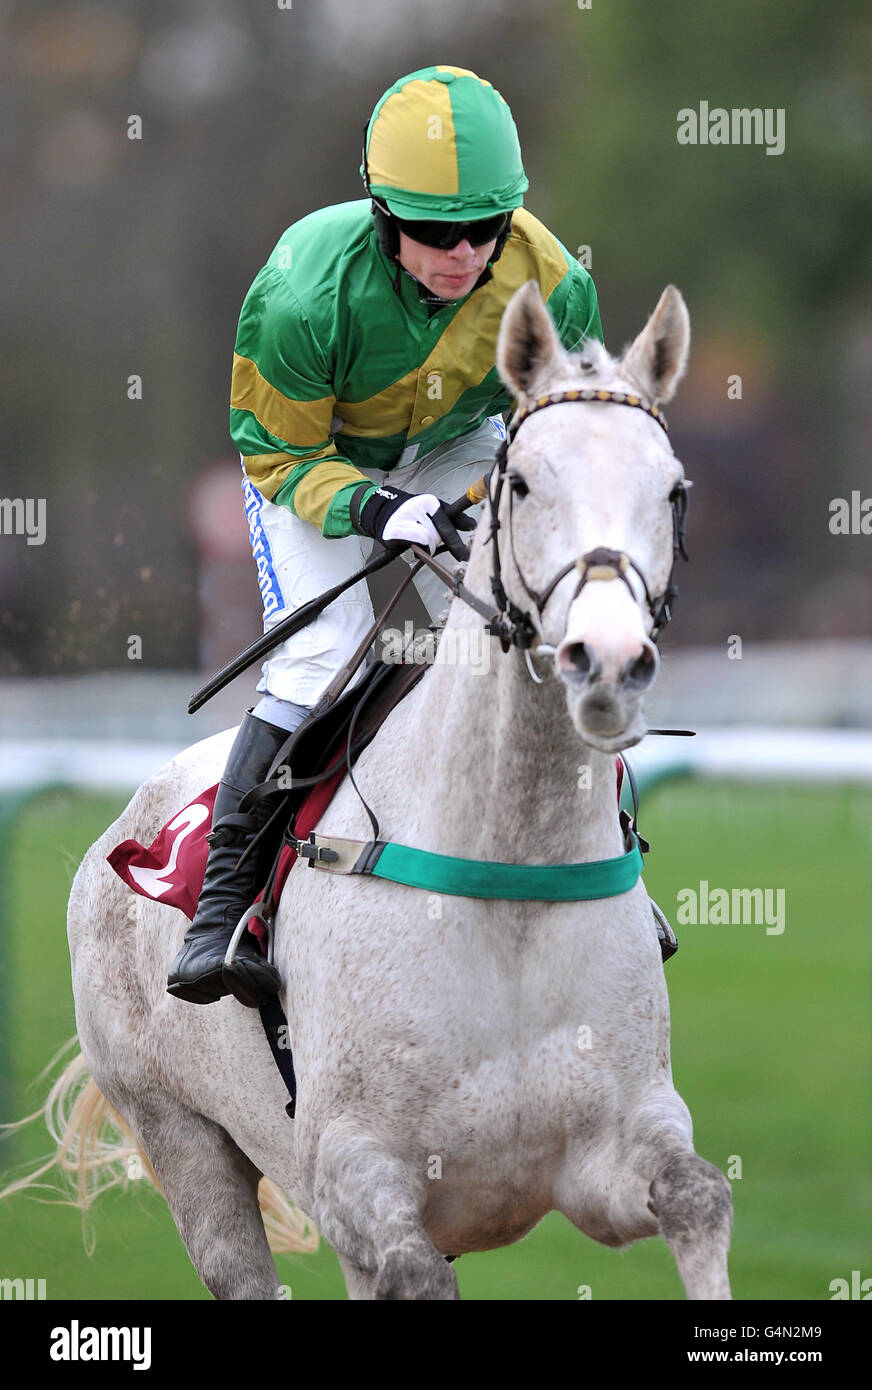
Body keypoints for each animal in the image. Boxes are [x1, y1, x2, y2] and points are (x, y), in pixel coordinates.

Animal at [12, 281, 733, 1299]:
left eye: (672, 490)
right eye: (521, 483)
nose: (608, 661)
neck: (505, 871)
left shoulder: (619, 1141)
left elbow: (702, 1196)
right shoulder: (357, 1179)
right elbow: (410, 1265)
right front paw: (406, 517)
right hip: (179, 1136)